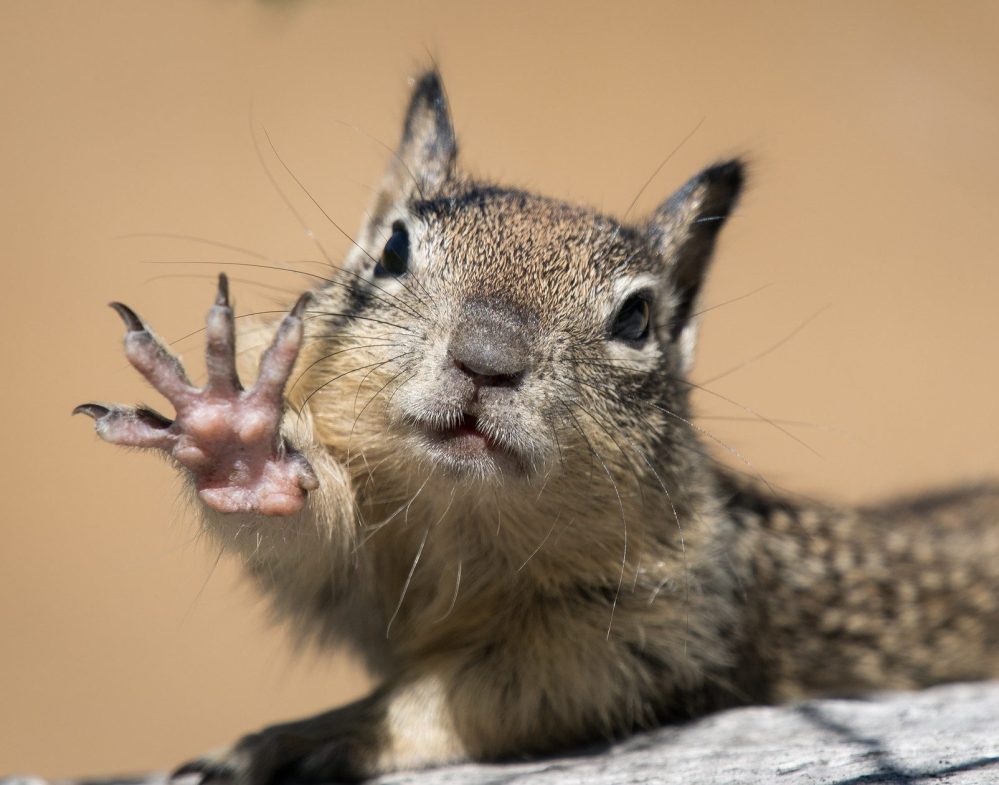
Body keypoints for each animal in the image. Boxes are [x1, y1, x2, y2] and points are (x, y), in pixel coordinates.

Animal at [75, 70, 999, 783]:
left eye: (636, 318)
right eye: (394, 250)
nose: (487, 358)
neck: (459, 517)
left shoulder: (655, 630)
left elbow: (479, 694)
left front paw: (317, 732)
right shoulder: (363, 579)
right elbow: (312, 542)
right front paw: (239, 441)